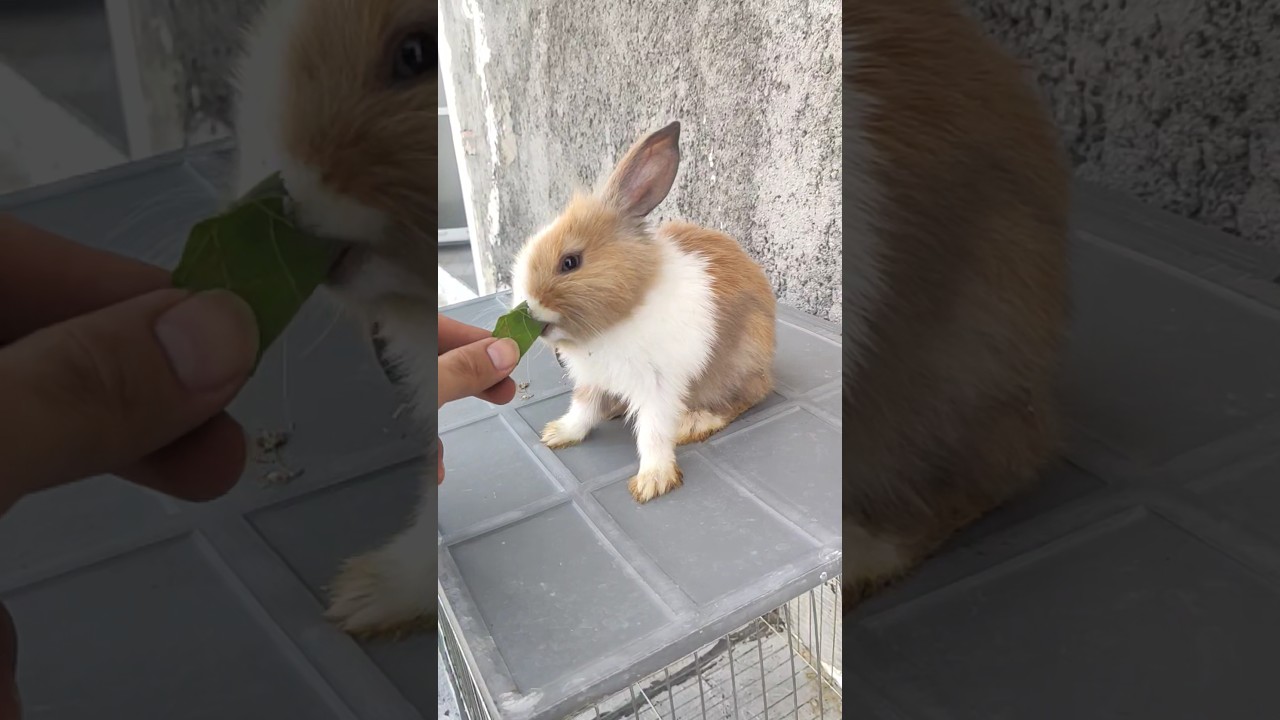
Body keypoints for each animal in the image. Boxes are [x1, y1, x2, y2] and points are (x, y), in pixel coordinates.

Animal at [511, 122, 778, 504]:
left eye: (570, 262)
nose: (528, 306)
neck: (617, 320)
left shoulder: (658, 386)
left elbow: (652, 432)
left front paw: (652, 481)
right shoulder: (592, 381)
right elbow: (582, 410)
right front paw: (558, 434)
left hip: (741, 358)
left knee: (748, 395)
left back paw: (694, 423)